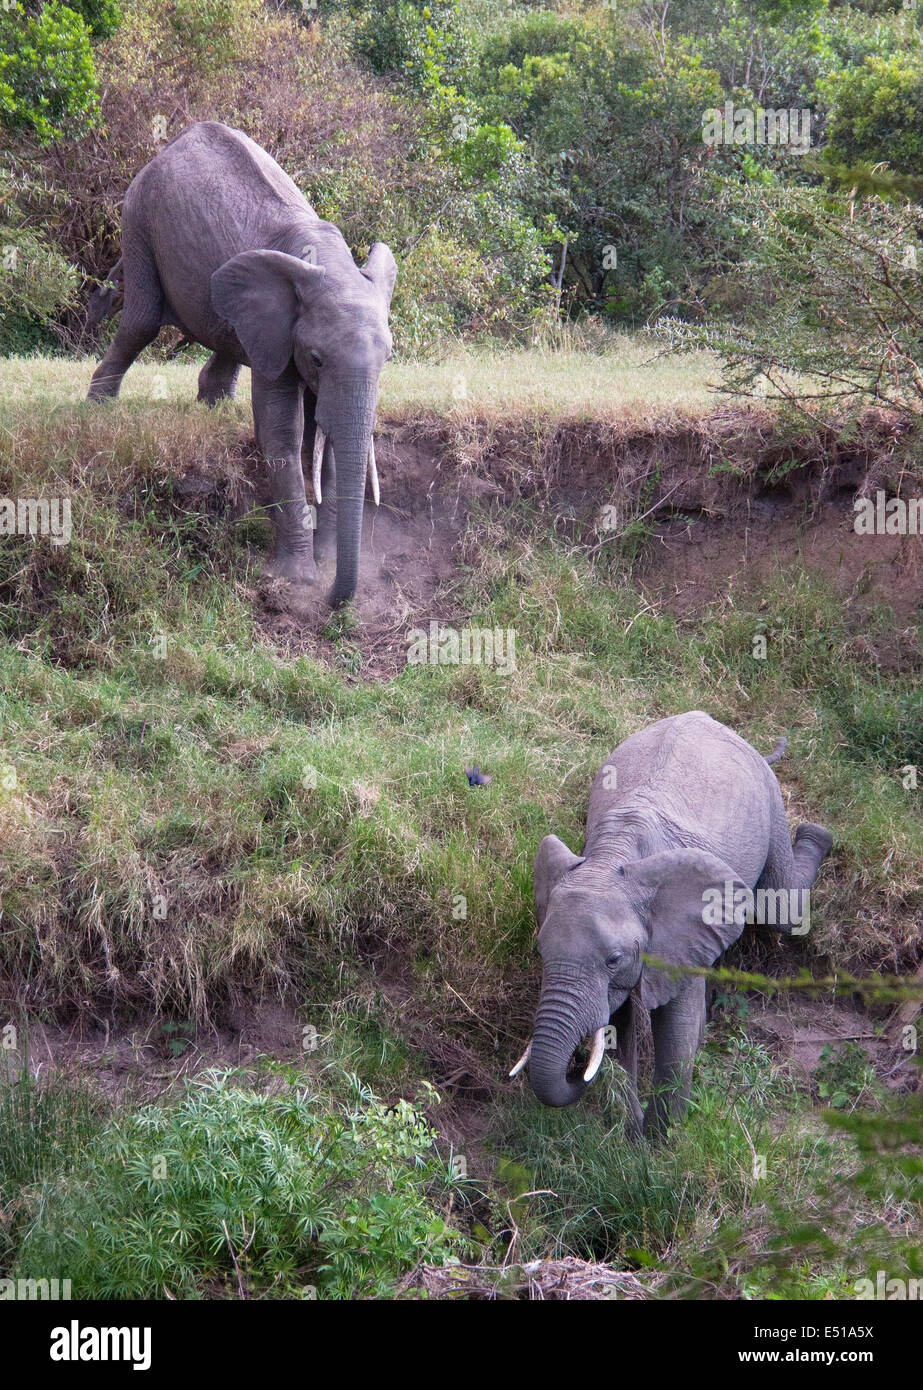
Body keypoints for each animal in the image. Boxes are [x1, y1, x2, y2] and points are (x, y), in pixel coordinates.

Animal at [87, 121, 396, 607]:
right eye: (316, 358)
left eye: (389, 358)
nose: (333, 599)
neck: (327, 264)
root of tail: (171, 145)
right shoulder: (285, 337)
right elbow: (282, 431)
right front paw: (300, 578)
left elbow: (325, 434)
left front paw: (326, 562)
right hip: (138, 218)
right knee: (141, 322)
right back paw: (98, 405)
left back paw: (214, 406)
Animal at [510, 711, 833, 1142]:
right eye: (541, 952)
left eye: (614, 959)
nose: (576, 1070)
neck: (613, 856)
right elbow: (619, 1026)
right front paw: (630, 1135)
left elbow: (674, 1031)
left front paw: (662, 1143)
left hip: (769, 796)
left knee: (781, 910)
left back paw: (818, 835)